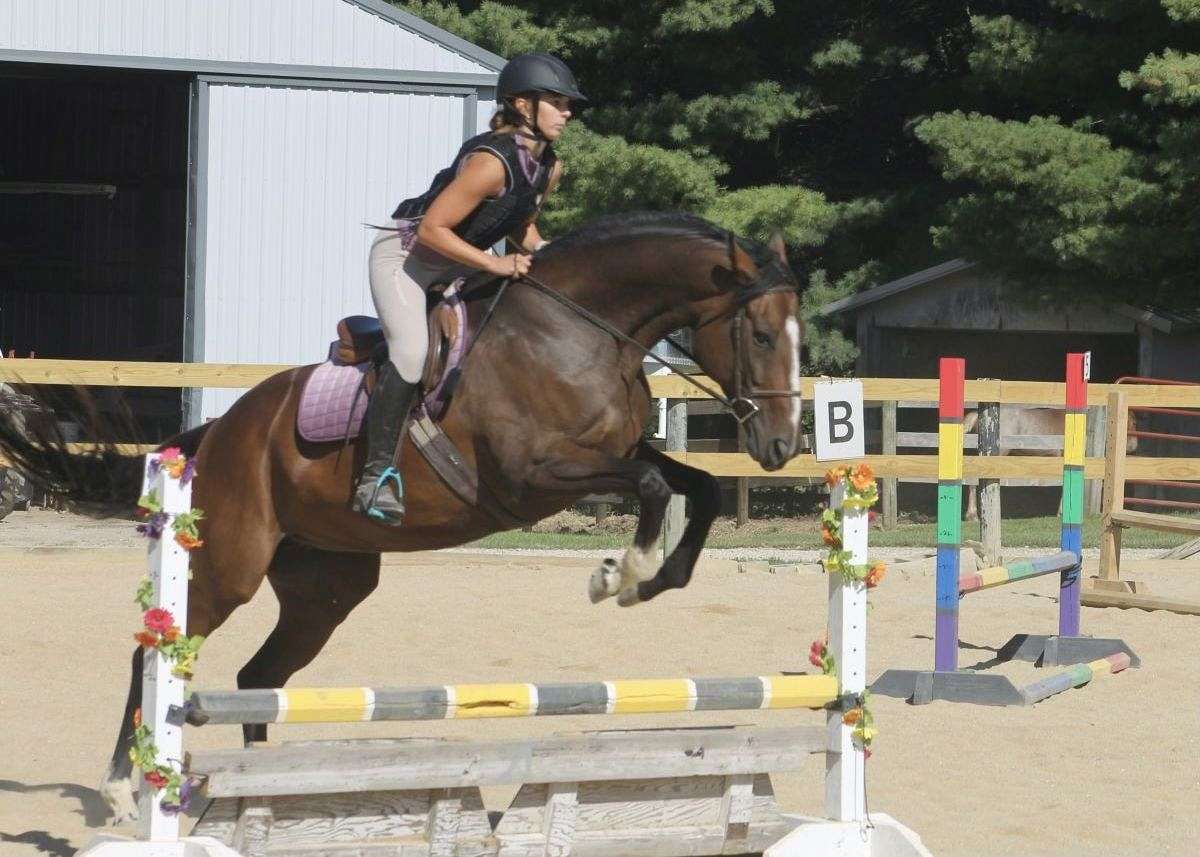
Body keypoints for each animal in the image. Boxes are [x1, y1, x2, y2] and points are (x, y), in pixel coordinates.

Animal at [0, 211, 806, 822]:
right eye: (763, 335)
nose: (782, 446)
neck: (581, 330)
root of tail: (220, 431)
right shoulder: (536, 477)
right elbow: (654, 484)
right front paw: (618, 574)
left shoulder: (612, 451)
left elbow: (694, 487)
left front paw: (650, 580)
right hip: (229, 565)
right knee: (156, 653)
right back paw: (123, 787)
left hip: (326, 588)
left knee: (262, 674)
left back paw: (264, 785)